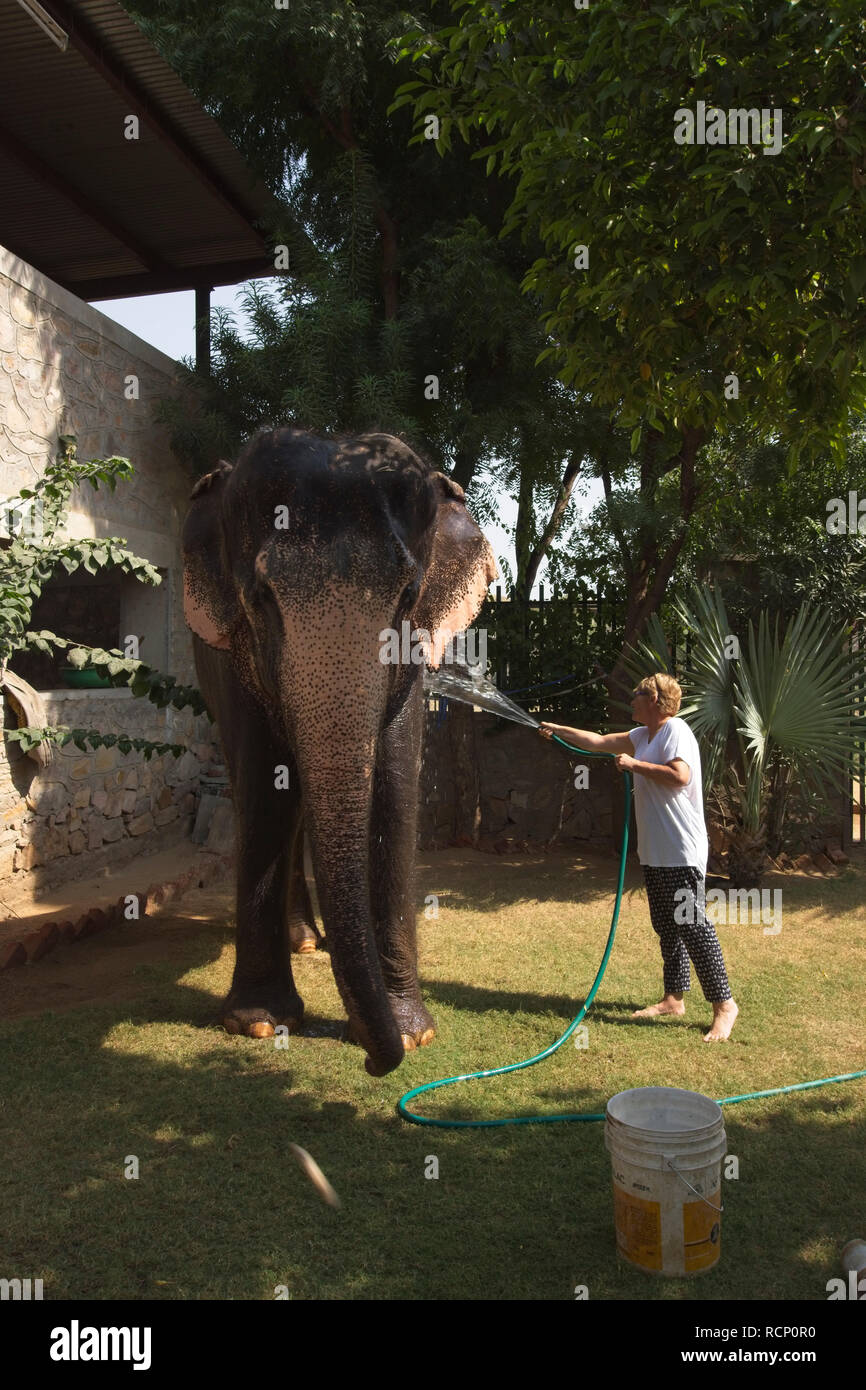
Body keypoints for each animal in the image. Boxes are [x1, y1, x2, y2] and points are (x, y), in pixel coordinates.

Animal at [182, 427, 497, 1076]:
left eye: (408, 596)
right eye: (260, 597)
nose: (376, 1063)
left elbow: (395, 792)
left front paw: (413, 1034)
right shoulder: (234, 660)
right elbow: (264, 790)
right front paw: (258, 1023)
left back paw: (313, 941)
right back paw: (304, 943)